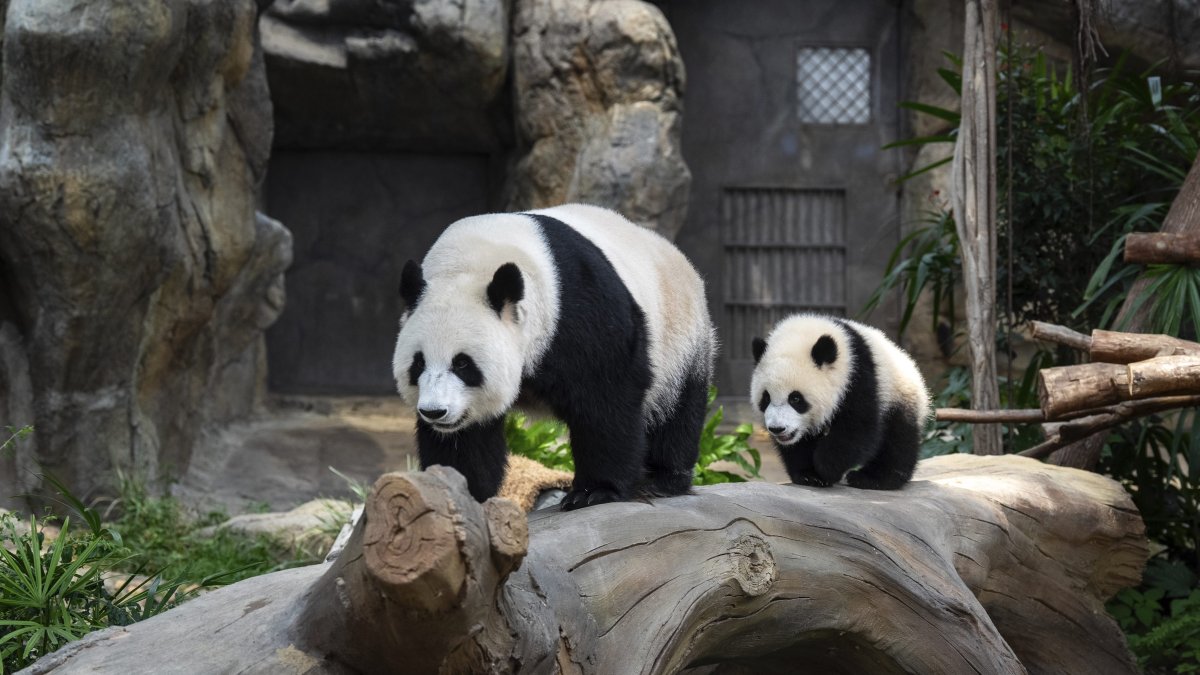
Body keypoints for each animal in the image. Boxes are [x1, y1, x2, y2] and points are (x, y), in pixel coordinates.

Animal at [392, 204, 716, 510]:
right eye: (418, 363)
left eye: (462, 363)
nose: (435, 412)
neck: (470, 265)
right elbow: (466, 440)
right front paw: (461, 493)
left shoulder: (576, 309)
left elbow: (606, 397)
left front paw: (594, 492)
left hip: (679, 338)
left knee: (675, 410)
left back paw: (663, 479)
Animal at [750, 314, 930, 490]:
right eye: (766, 398)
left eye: (795, 398)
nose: (777, 428)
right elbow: (799, 444)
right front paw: (809, 475)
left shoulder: (858, 377)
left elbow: (857, 428)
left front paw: (826, 468)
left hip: (898, 393)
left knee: (898, 439)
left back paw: (873, 479)